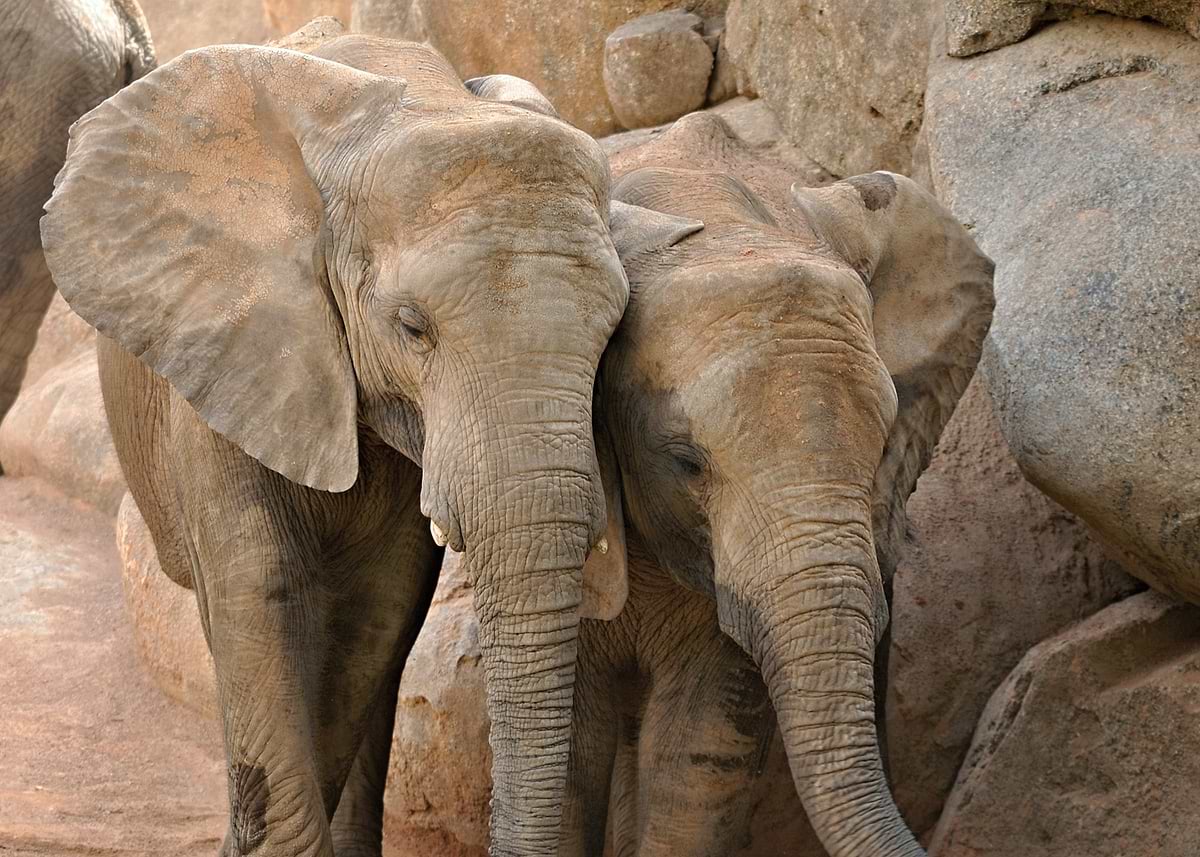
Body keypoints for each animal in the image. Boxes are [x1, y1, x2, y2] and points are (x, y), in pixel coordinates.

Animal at [40, 32, 650, 857]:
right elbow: (259, 586)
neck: (406, 106)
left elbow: (377, 604)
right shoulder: (228, 345)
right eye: (412, 326)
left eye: (613, 332)